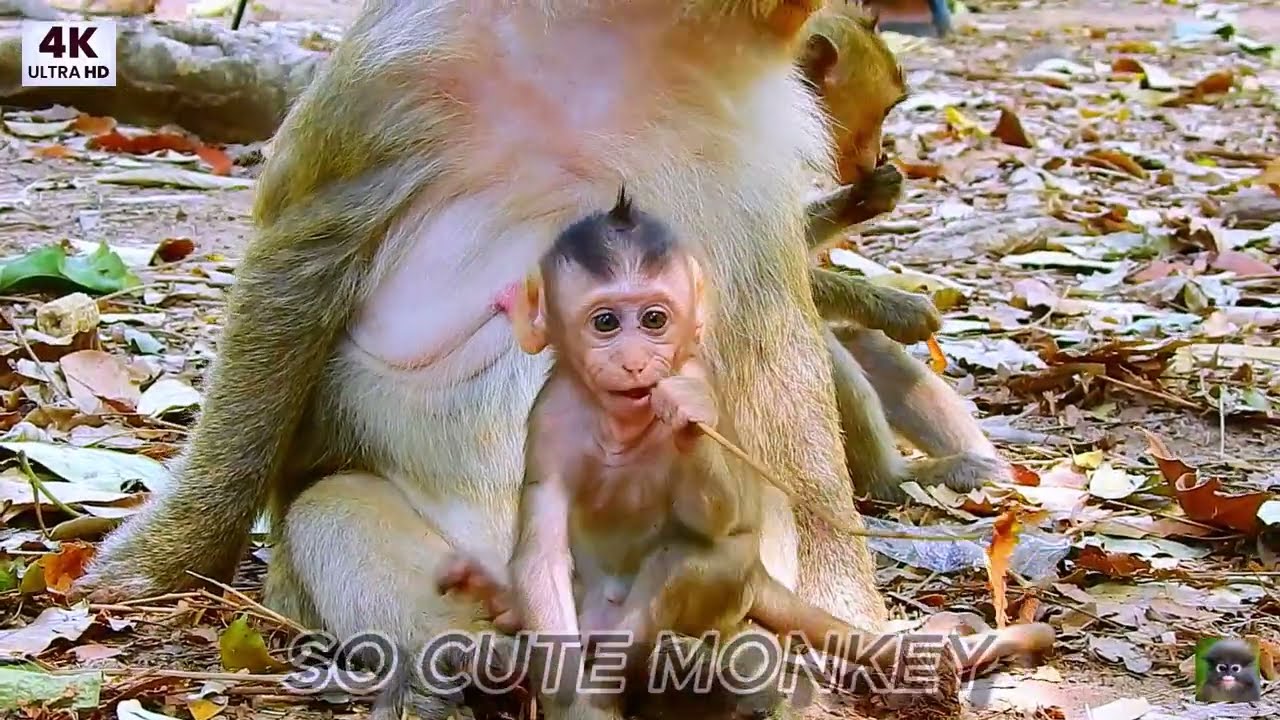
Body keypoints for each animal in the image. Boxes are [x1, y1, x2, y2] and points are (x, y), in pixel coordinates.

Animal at [70, 6, 1009, 719]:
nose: (875, 159)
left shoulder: (756, 151)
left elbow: (777, 346)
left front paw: (858, 620)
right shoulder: (394, 74)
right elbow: (302, 250)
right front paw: (159, 561)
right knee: (334, 510)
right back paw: (471, 673)